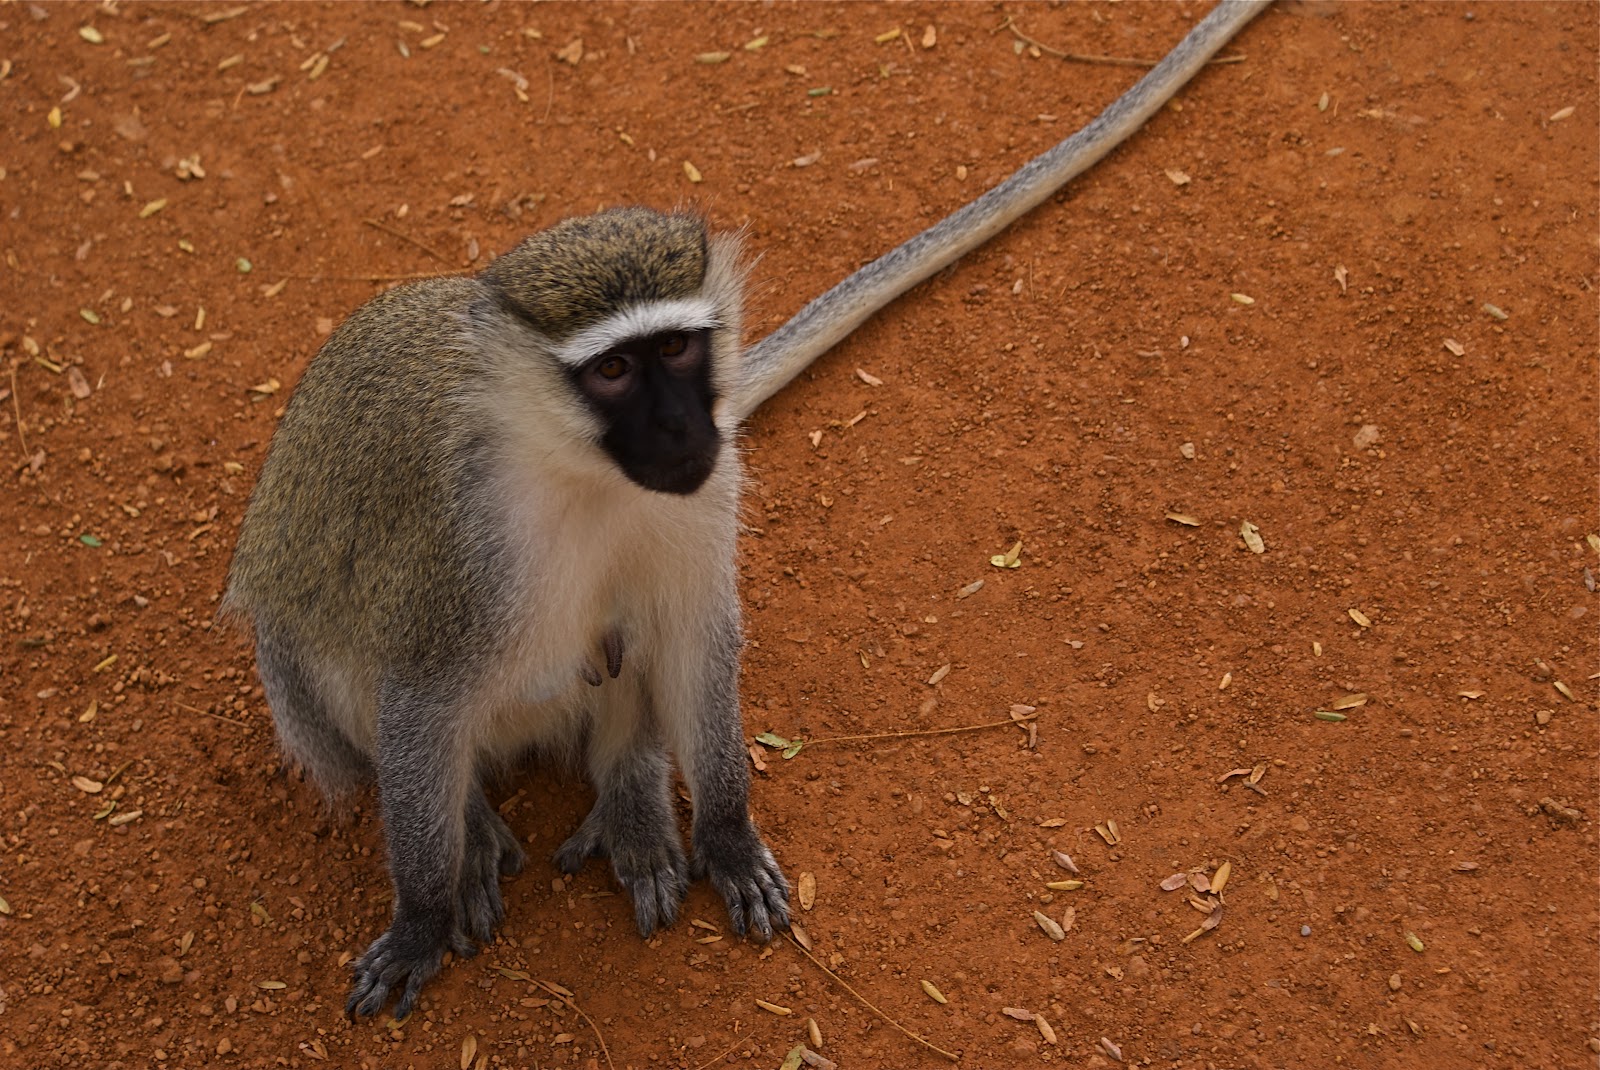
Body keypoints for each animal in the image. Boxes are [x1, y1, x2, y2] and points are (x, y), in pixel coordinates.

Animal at [220, 0, 1267, 1022]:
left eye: (679, 349)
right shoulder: (459, 553)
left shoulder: (706, 490)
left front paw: (722, 831)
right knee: (317, 652)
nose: (687, 427)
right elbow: (417, 696)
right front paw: (423, 920)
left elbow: (693, 638)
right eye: (614, 369)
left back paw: (634, 795)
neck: (577, 466)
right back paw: (474, 824)